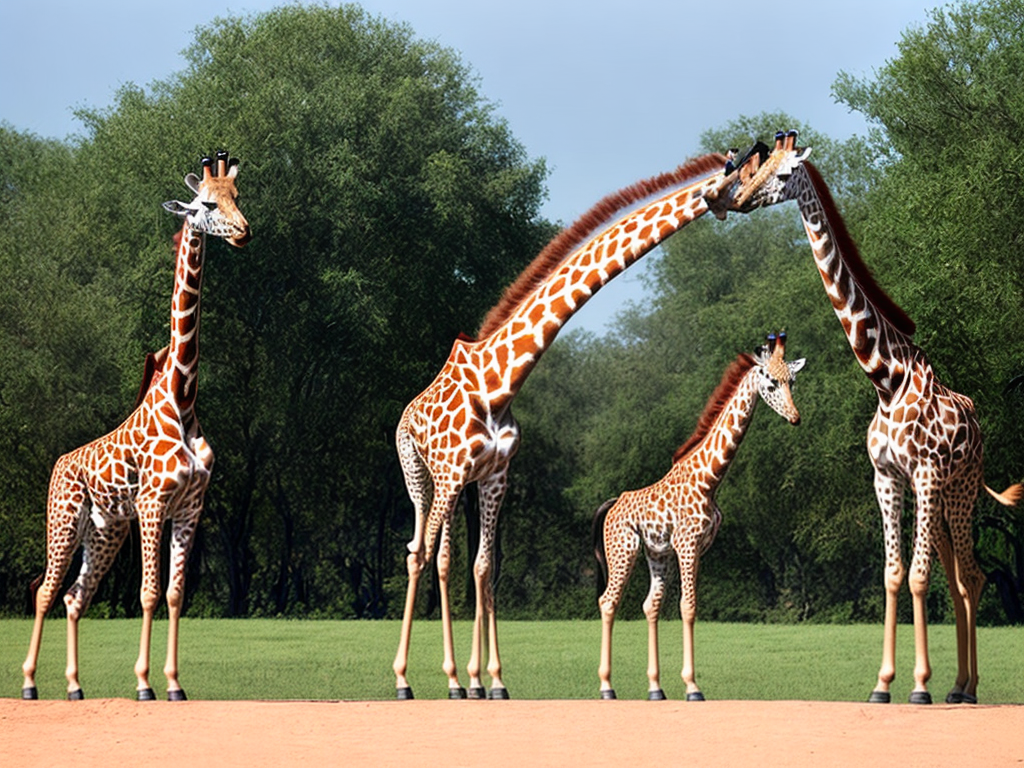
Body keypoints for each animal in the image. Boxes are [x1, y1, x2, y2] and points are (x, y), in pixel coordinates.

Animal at [21, 151, 251, 701]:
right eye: (208, 205)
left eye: (237, 197)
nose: (244, 232)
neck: (183, 397)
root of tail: (59, 463)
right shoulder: (151, 504)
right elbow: (147, 594)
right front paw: (145, 684)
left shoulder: (190, 505)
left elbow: (174, 594)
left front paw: (175, 684)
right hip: (64, 519)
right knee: (44, 592)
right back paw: (30, 684)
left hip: (105, 531)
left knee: (75, 597)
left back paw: (75, 687)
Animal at [594, 332, 805, 701]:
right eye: (771, 382)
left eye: (792, 381)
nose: (795, 417)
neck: (709, 480)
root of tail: (613, 505)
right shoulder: (687, 544)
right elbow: (688, 607)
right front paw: (693, 687)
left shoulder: (696, 548)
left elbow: (682, 606)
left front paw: (678, 685)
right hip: (623, 549)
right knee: (608, 600)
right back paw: (607, 687)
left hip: (655, 554)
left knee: (650, 605)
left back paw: (655, 689)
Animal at [779, 145, 1022, 704]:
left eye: (783, 174)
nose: (737, 193)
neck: (885, 378)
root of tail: (980, 427)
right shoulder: (887, 478)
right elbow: (893, 575)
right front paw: (883, 684)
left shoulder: (926, 476)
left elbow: (916, 577)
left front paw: (918, 685)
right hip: (945, 499)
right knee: (962, 578)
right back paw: (959, 686)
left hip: (959, 490)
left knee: (971, 577)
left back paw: (965, 688)